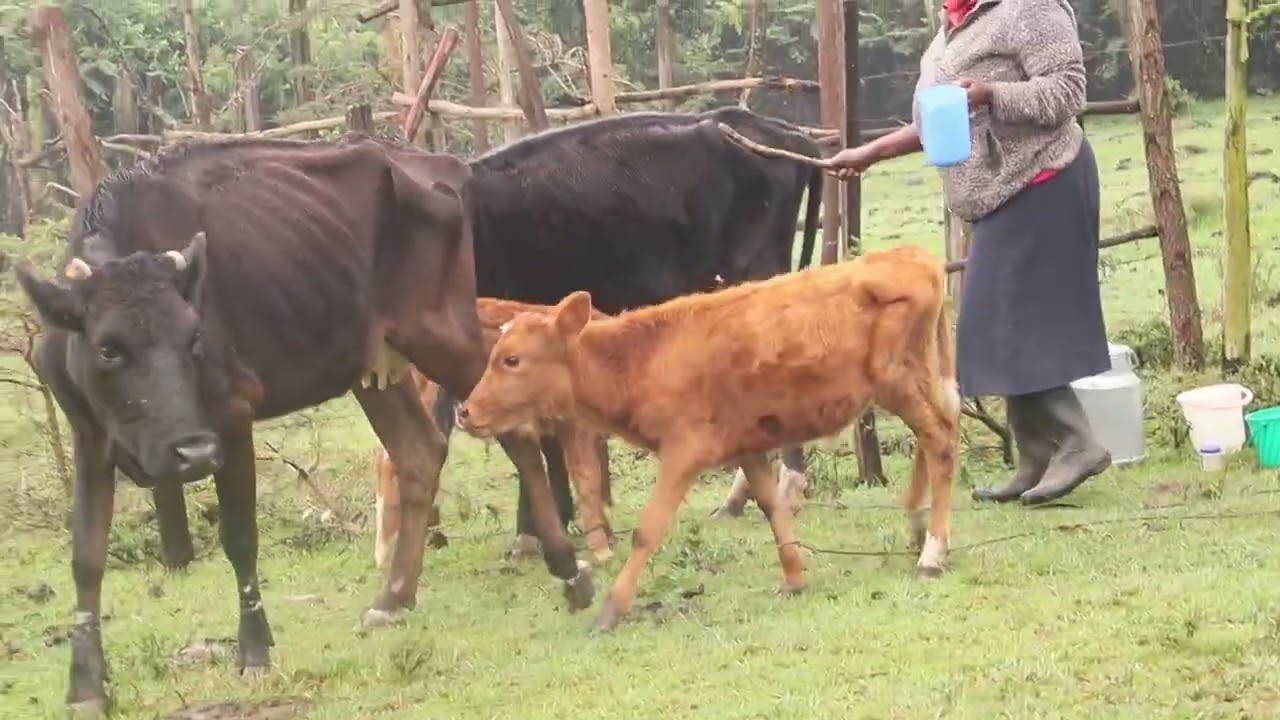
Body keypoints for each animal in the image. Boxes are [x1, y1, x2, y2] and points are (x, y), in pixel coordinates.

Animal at [455, 244, 962, 632]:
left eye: (512, 359)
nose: (465, 411)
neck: (639, 357)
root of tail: (913, 256)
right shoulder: (749, 448)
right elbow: (773, 508)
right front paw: (795, 577)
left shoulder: (683, 452)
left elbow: (648, 530)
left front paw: (611, 610)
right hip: (915, 382)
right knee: (935, 437)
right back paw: (916, 526)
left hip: (900, 382)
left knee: (940, 441)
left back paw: (932, 552)